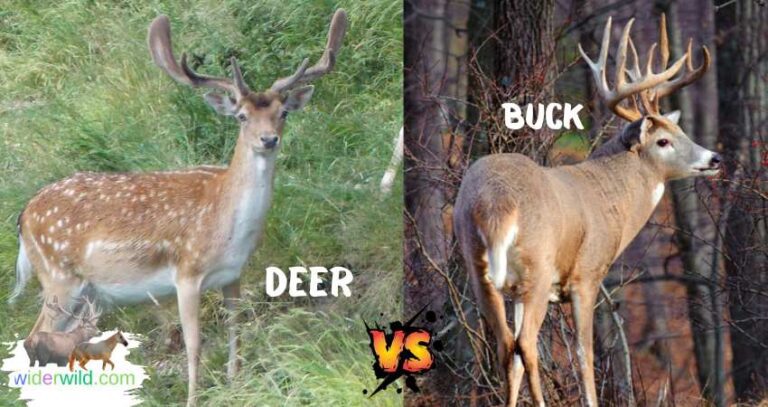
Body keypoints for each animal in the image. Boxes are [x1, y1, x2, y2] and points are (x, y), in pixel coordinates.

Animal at [9, 9, 347, 406]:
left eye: (284, 113)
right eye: (241, 116)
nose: (269, 139)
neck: (227, 225)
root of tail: (23, 216)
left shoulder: (233, 274)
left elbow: (236, 326)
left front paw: (235, 382)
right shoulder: (187, 272)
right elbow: (194, 344)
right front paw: (193, 398)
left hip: (86, 293)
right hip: (57, 274)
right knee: (36, 334)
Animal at [453, 14, 718, 406]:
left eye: (681, 130)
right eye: (663, 141)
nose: (715, 158)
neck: (609, 198)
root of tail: (495, 202)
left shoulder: (518, 289)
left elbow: (518, 358)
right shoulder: (587, 275)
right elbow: (584, 354)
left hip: (480, 269)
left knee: (507, 346)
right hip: (537, 265)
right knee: (526, 344)